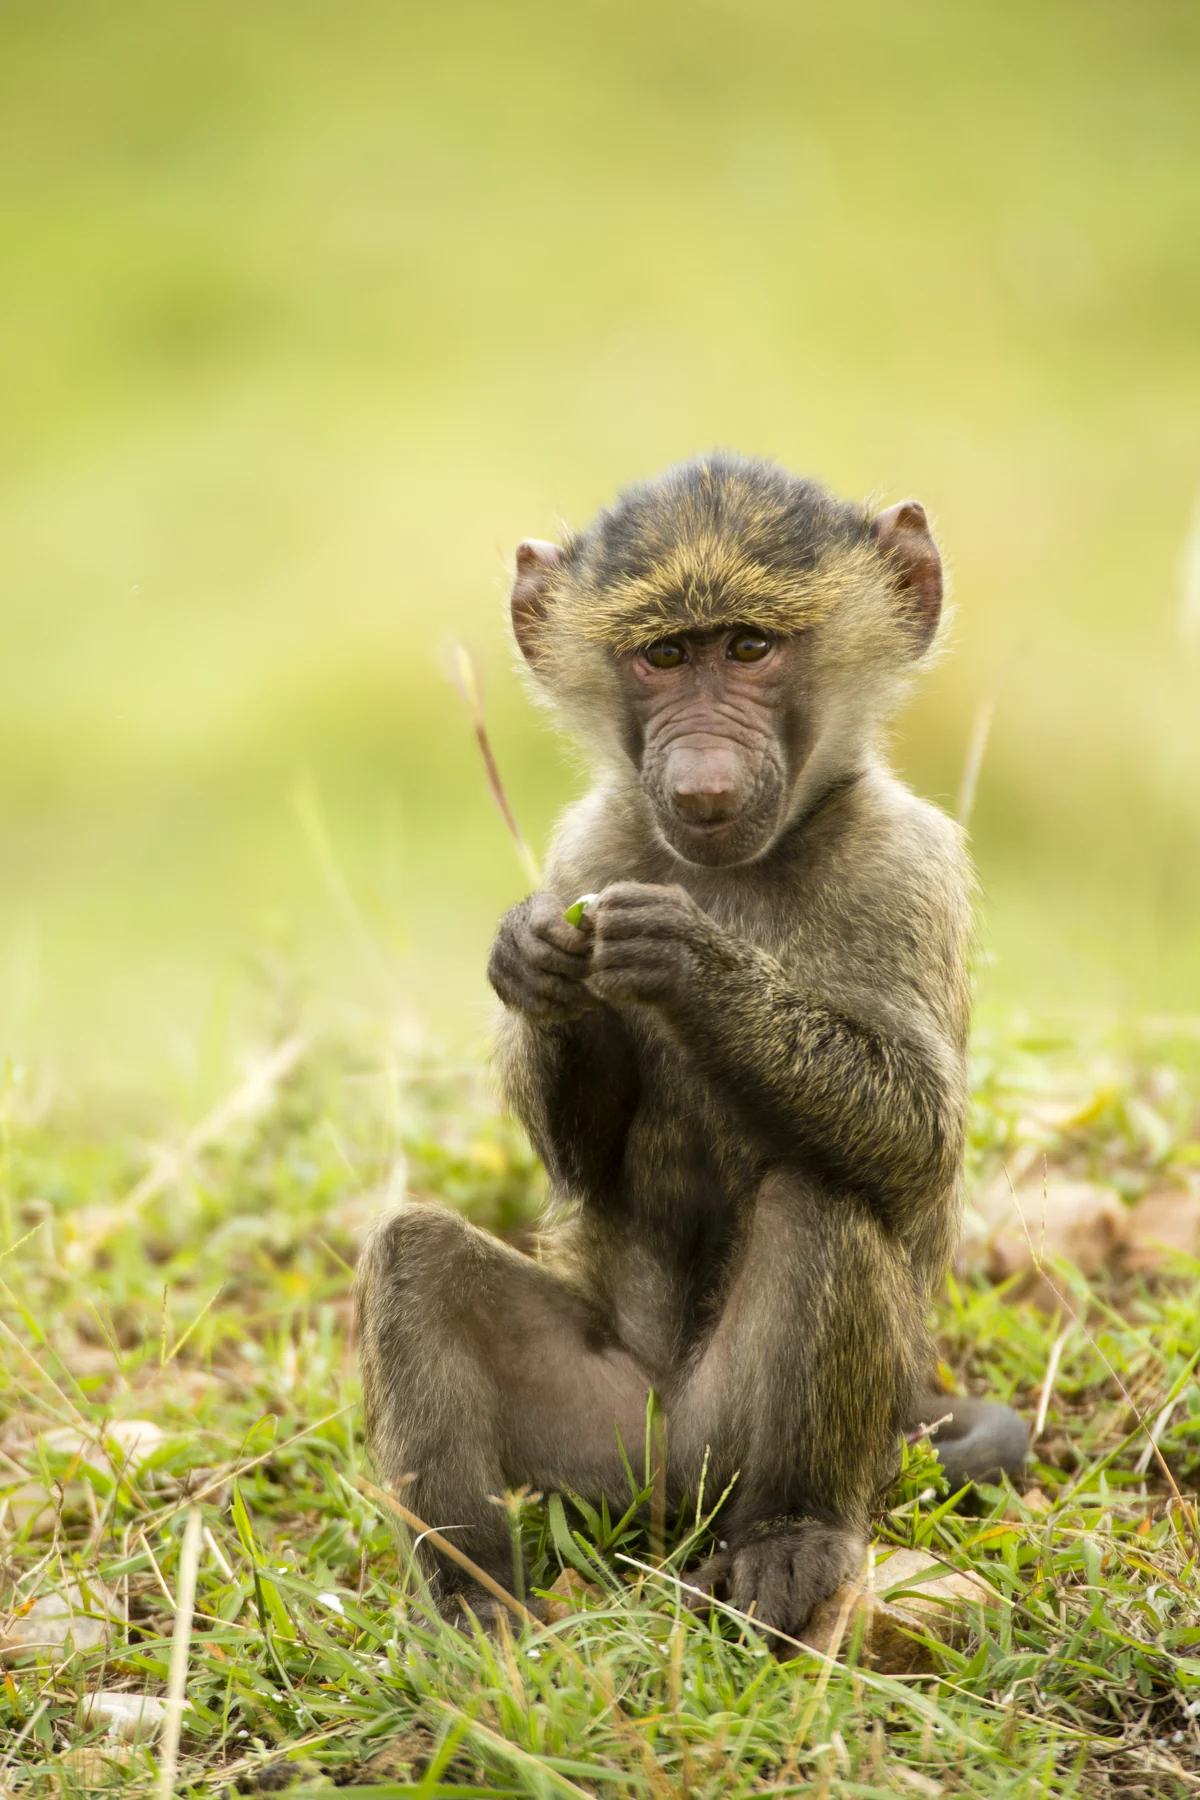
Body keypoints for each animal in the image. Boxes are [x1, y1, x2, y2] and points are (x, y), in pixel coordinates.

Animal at [356, 453, 1028, 1641]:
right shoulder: (589, 849)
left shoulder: (906, 864)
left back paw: (792, 1536)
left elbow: (921, 1140)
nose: (703, 780)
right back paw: (476, 1601)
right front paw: (537, 963)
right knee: (413, 1256)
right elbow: (581, 1164)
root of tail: (670, 1485)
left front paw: (691, 960)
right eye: (663, 657)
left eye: (751, 649)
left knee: (822, 1196)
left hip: (753, 1434)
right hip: (600, 1432)